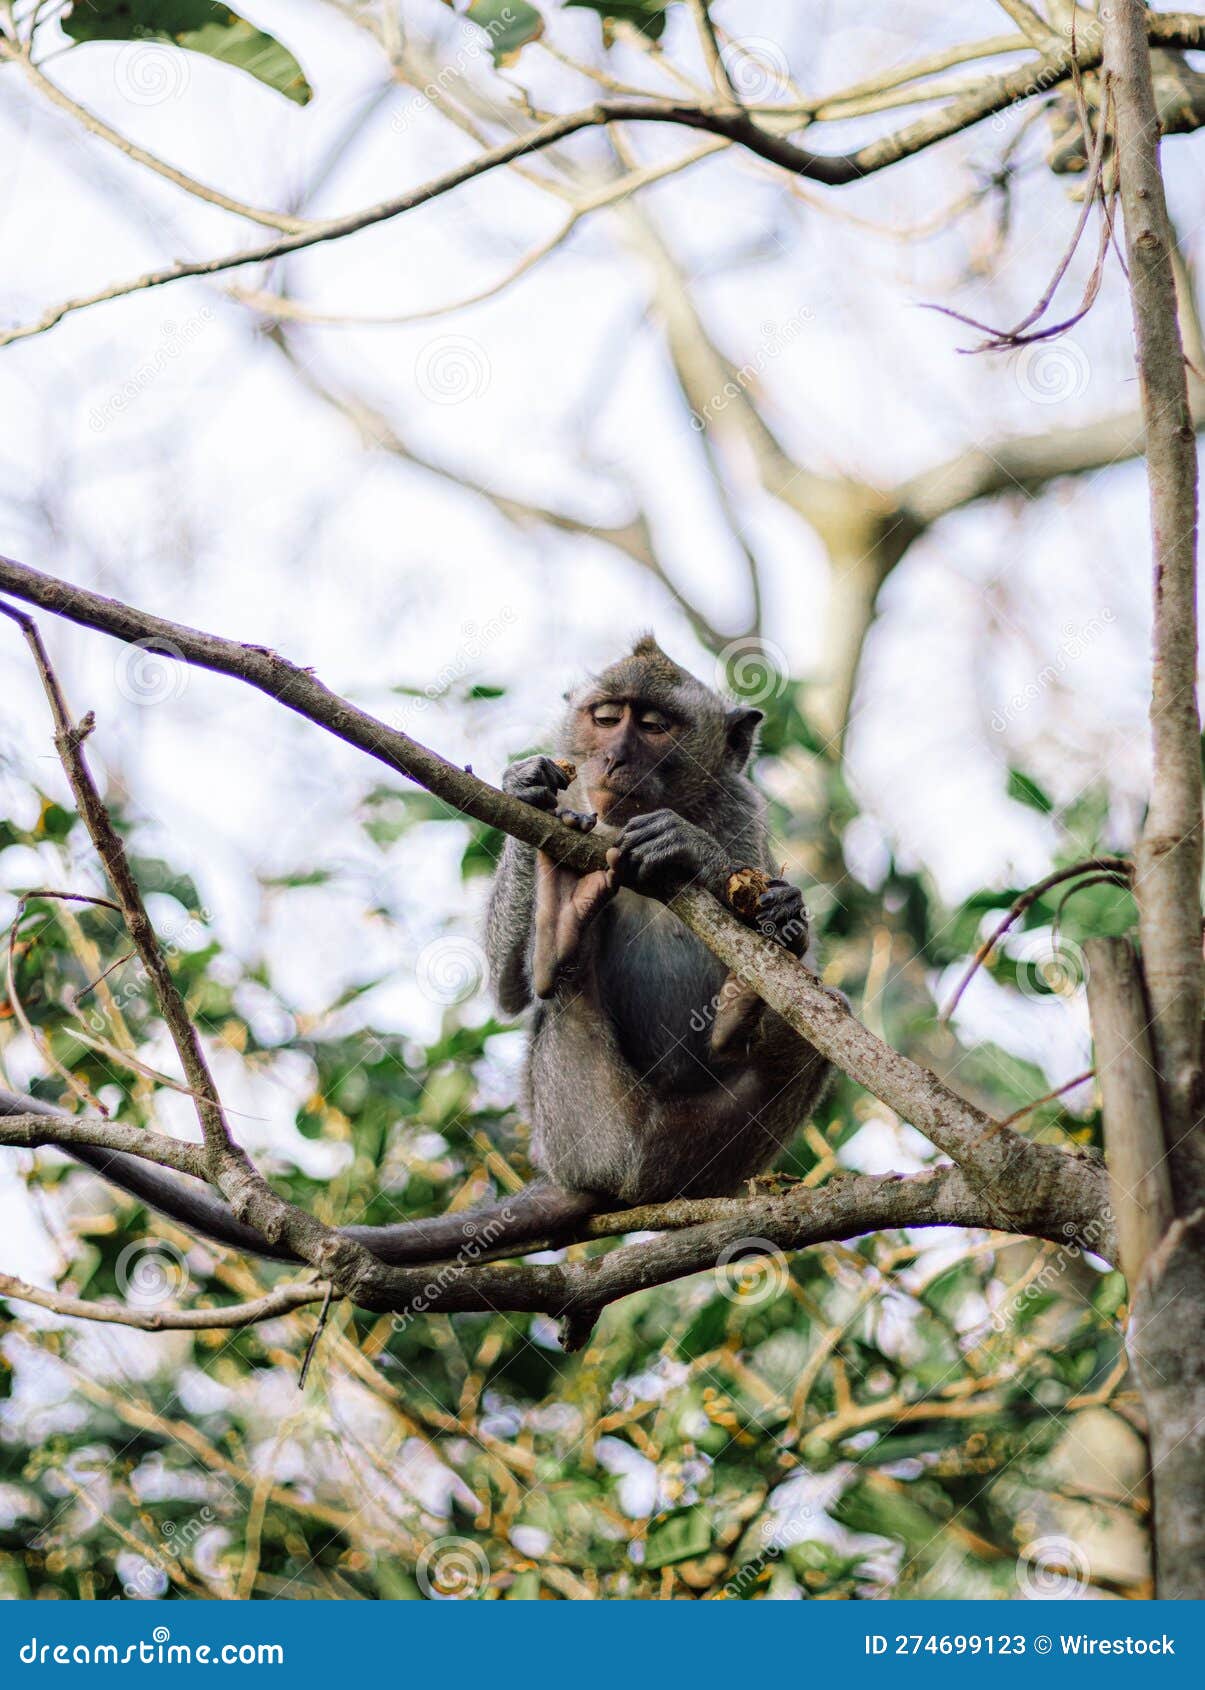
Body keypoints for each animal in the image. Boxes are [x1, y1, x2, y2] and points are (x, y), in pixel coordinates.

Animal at [0, 636, 836, 1267]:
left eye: (654, 726)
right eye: (605, 718)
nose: (614, 760)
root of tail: (622, 1181)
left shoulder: (742, 812)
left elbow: (753, 927)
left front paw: (735, 881)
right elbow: (506, 991)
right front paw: (526, 790)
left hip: (717, 1157)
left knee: (811, 1026)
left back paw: (735, 1016)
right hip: (575, 1123)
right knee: (557, 999)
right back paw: (563, 929)